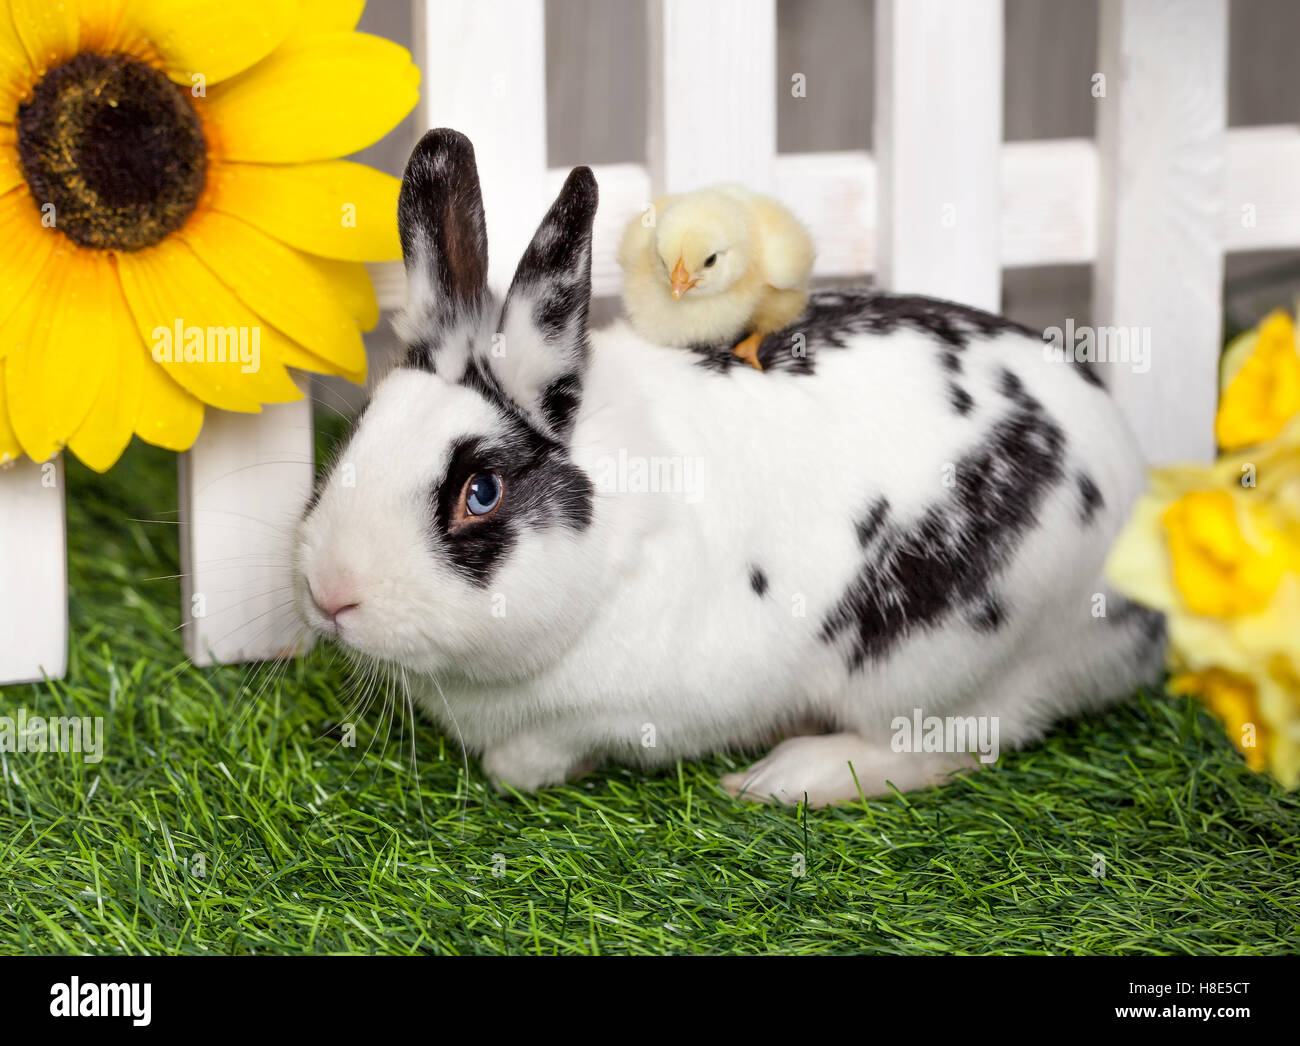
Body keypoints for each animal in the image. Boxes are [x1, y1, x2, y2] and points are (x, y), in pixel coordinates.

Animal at [294, 128, 1165, 807]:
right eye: (360, 431)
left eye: (481, 492)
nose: (330, 594)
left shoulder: (633, 709)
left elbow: (533, 757)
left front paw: (526, 767)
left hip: (935, 666)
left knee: (951, 745)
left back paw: (787, 776)